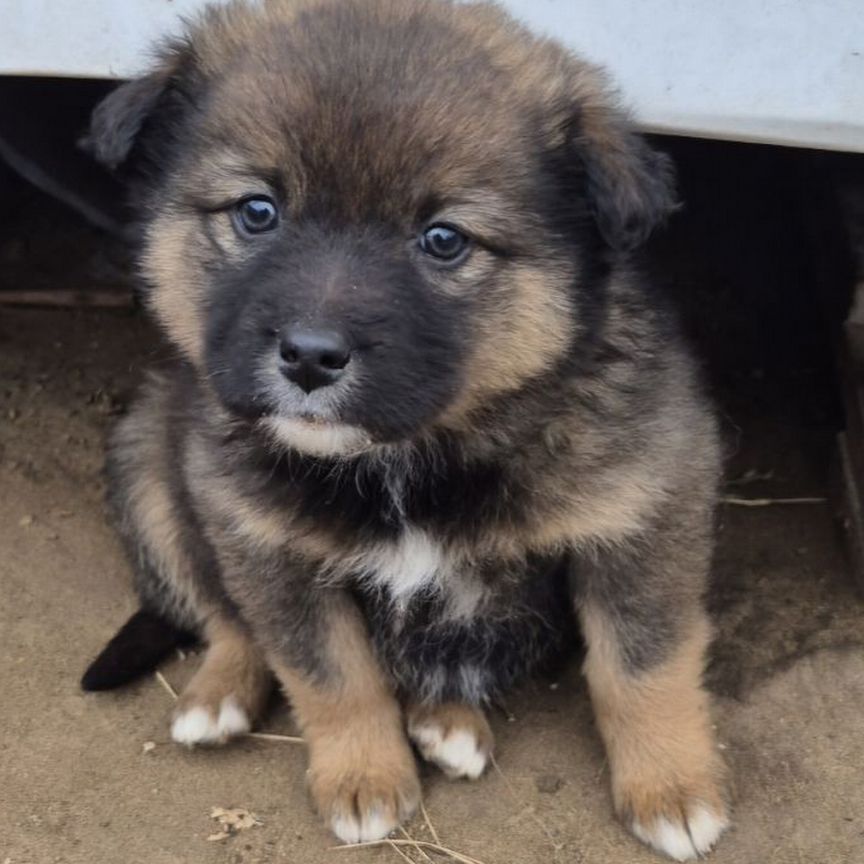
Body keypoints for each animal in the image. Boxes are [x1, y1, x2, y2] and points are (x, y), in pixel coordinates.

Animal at [81, 0, 728, 856]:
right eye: (257, 211)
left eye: (444, 239)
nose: (310, 356)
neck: (409, 461)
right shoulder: (263, 539)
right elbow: (329, 672)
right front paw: (363, 778)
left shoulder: (647, 511)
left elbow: (642, 664)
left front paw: (672, 787)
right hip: (153, 464)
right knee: (223, 614)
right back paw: (218, 695)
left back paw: (448, 722)